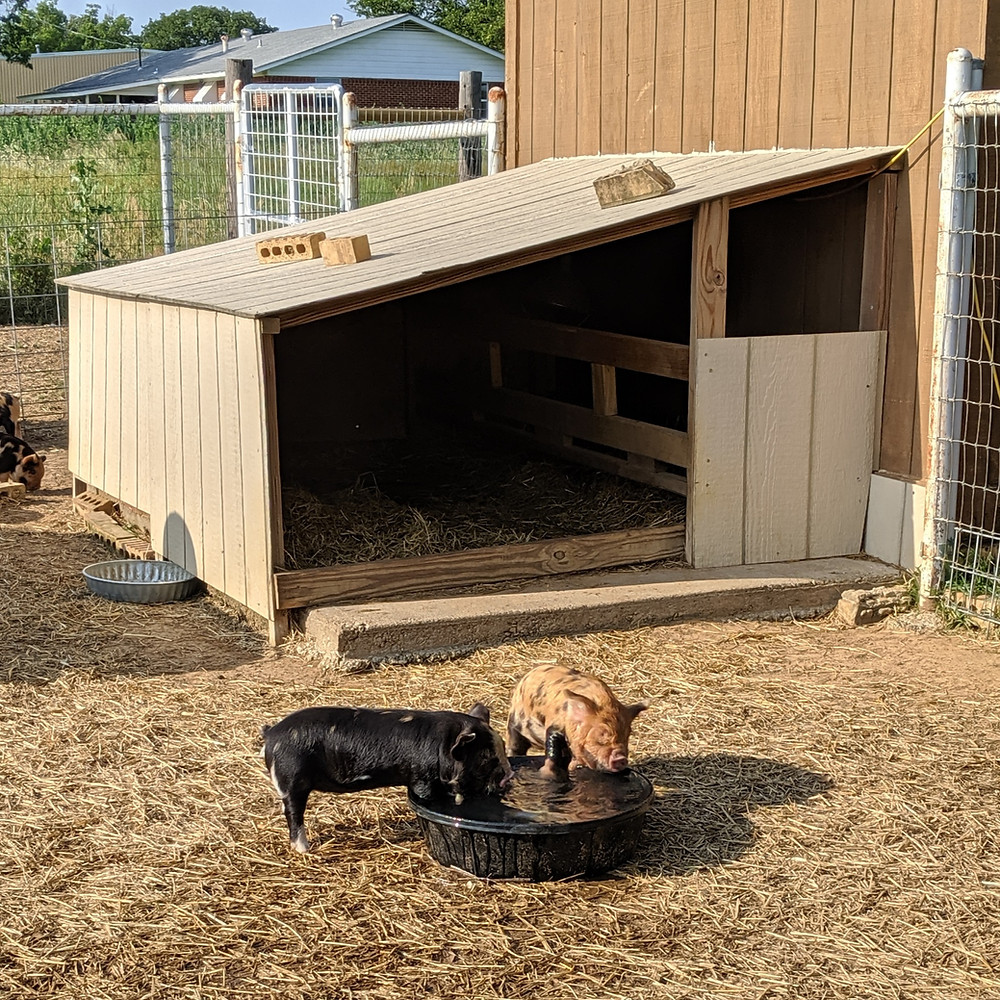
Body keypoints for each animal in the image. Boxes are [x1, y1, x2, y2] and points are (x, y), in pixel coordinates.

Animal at [260, 703, 513, 853]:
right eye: (485, 756)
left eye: (501, 745)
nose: (509, 776)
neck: (443, 744)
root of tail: (271, 733)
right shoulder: (421, 778)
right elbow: (427, 799)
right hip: (292, 779)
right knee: (294, 813)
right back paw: (305, 849)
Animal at [506, 665, 649, 774]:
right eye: (601, 734)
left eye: (627, 735)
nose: (621, 757)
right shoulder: (555, 726)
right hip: (514, 723)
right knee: (516, 746)